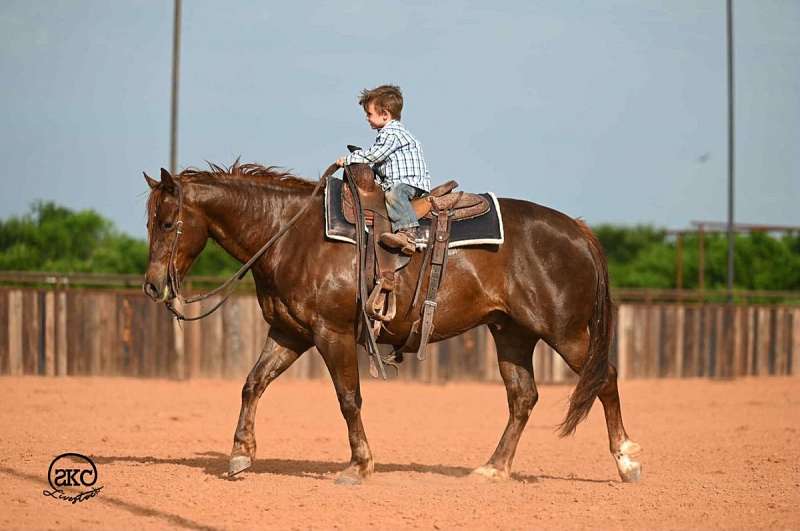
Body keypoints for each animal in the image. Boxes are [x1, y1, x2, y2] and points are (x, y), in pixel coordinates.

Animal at [142, 160, 642, 484]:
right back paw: (493, 468)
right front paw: (240, 456)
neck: (291, 235)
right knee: (523, 397)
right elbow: (252, 384)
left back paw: (626, 462)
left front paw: (359, 465)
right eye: (149, 223)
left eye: (167, 222)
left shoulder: (331, 333)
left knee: (605, 378)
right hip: (511, 333)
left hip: (566, 333)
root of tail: (577, 229)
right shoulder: (289, 333)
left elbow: (348, 398)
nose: (152, 285)